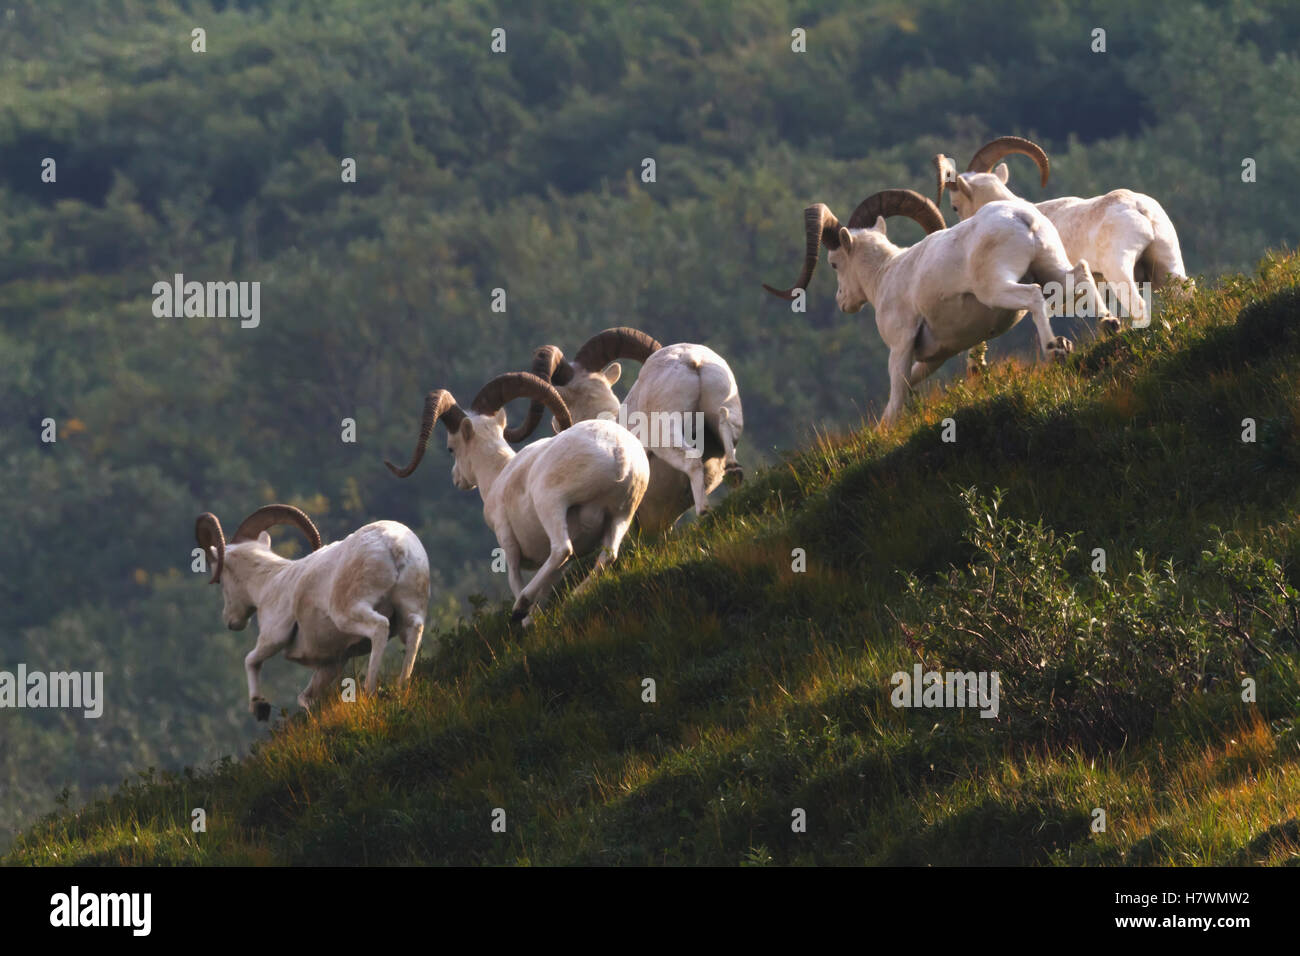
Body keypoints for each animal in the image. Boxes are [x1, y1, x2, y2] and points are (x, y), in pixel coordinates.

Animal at [194, 505, 430, 721]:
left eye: (221, 581)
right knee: (415, 631)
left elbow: (251, 660)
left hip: (349, 612)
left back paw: (368, 692)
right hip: (410, 609)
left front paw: (259, 707)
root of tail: (394, 545)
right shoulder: (332, 663)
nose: (231, 621)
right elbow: (305, 698)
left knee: (379, 627)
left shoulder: (272, 639)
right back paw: (402, 687)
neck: (268, 581)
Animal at [384, 371, 649, 626]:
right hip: (621, 516)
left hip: (552, 504)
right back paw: (572, 599)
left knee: (561, 549)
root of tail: (619, 454)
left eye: (451, 448)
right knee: (608, 555)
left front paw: (524, 615)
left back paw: (521, 606)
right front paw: (534, 618)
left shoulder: (507, 540)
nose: (456, 479)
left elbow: (515, 576)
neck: (499, 473)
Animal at [503, 328, 744, 530]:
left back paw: (704, 509)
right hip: (727, 411)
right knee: (725, 429)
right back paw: (734, 473)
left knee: (692, 461)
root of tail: (692, 361)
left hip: (666, 435)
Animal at [763, 188, 1113, 426]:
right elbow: (909, 385)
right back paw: (1109, 325)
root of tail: (1022, 219)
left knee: (1033, 295)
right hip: (1053, 269)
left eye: (834, 263)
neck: (885, 274)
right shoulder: (935, 356)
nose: (842, 301)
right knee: (1081, 274)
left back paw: (1056, 349)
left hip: (998, 288)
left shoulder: (900, 348)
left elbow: (895, 399)